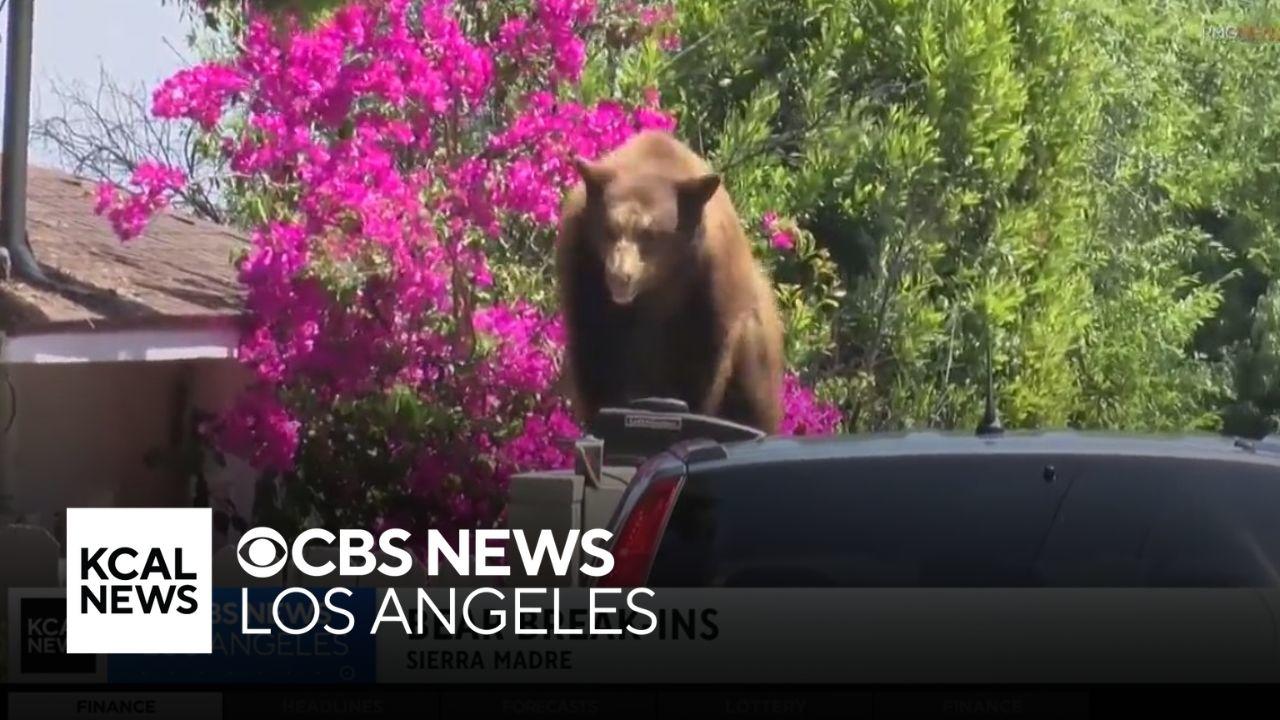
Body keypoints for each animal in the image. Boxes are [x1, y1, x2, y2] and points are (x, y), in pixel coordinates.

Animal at [554, 130, 784, 433]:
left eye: (651, 234)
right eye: (609, 229)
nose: (619, 276)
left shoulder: (709, 286)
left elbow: (701, 368)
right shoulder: (583, 270)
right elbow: (595, 351)